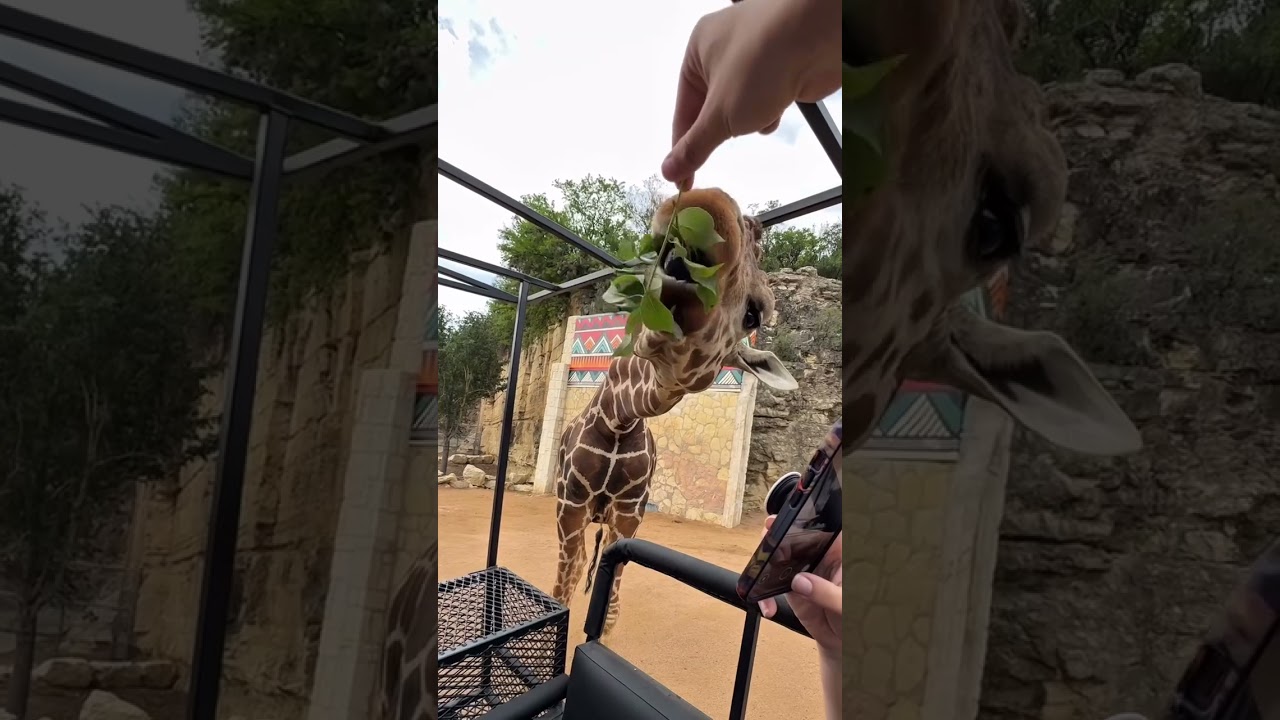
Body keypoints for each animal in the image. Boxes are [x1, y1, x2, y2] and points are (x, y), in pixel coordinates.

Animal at [551, 187, 799, 635]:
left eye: (753, 314)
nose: (711, 206)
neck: (617, 420)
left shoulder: (628, 515)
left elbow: (610, 611)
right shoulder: (570, 505)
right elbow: (560, 593)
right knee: (574, 571)